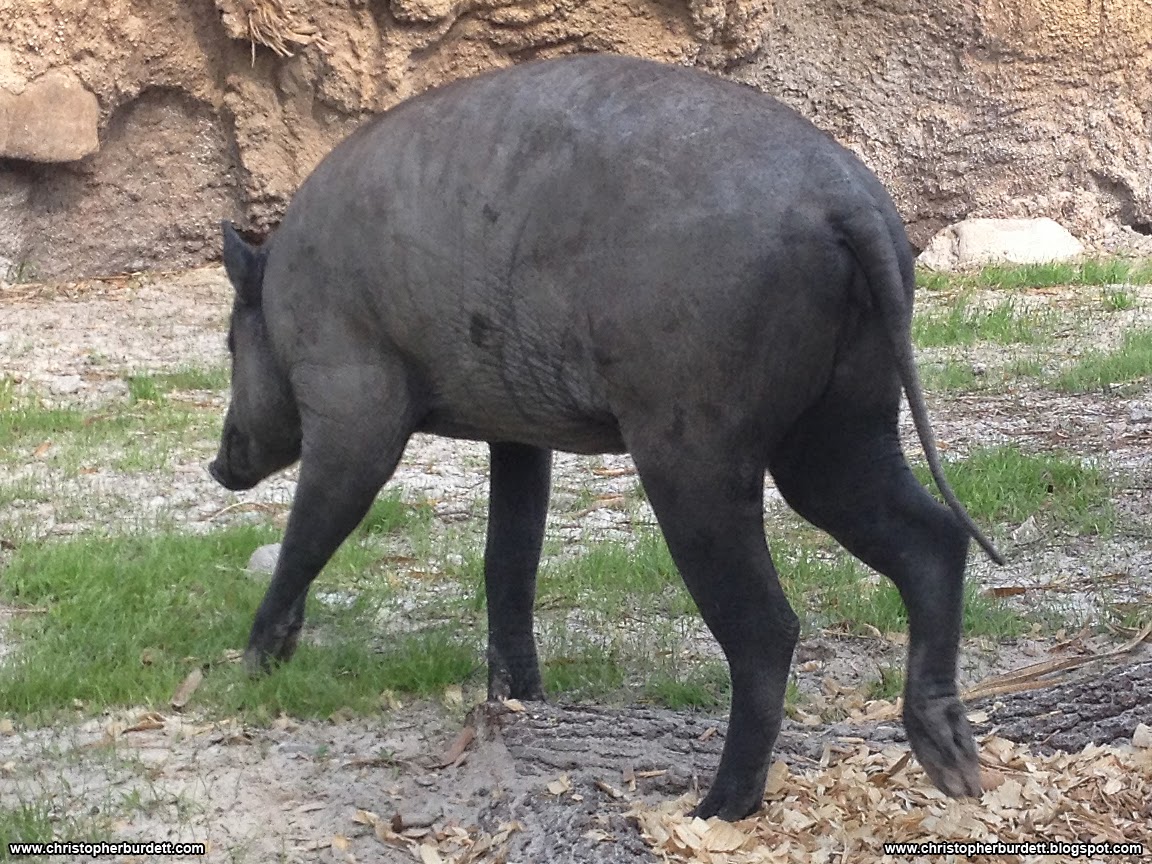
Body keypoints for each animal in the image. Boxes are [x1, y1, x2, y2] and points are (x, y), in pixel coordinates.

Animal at [209, 54, 1003, 821]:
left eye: (228, 341)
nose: (219, 466)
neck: (281, 296)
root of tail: (848, 201)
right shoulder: (518, 439)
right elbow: (508, 559)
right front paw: (517, 697)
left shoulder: (353, 412)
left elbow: (310, 532)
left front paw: (250, 665)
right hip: (838, 433)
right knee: (934, 540)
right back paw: (954, 766)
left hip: (692, 454)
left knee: (768, 627)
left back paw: (721, 807)